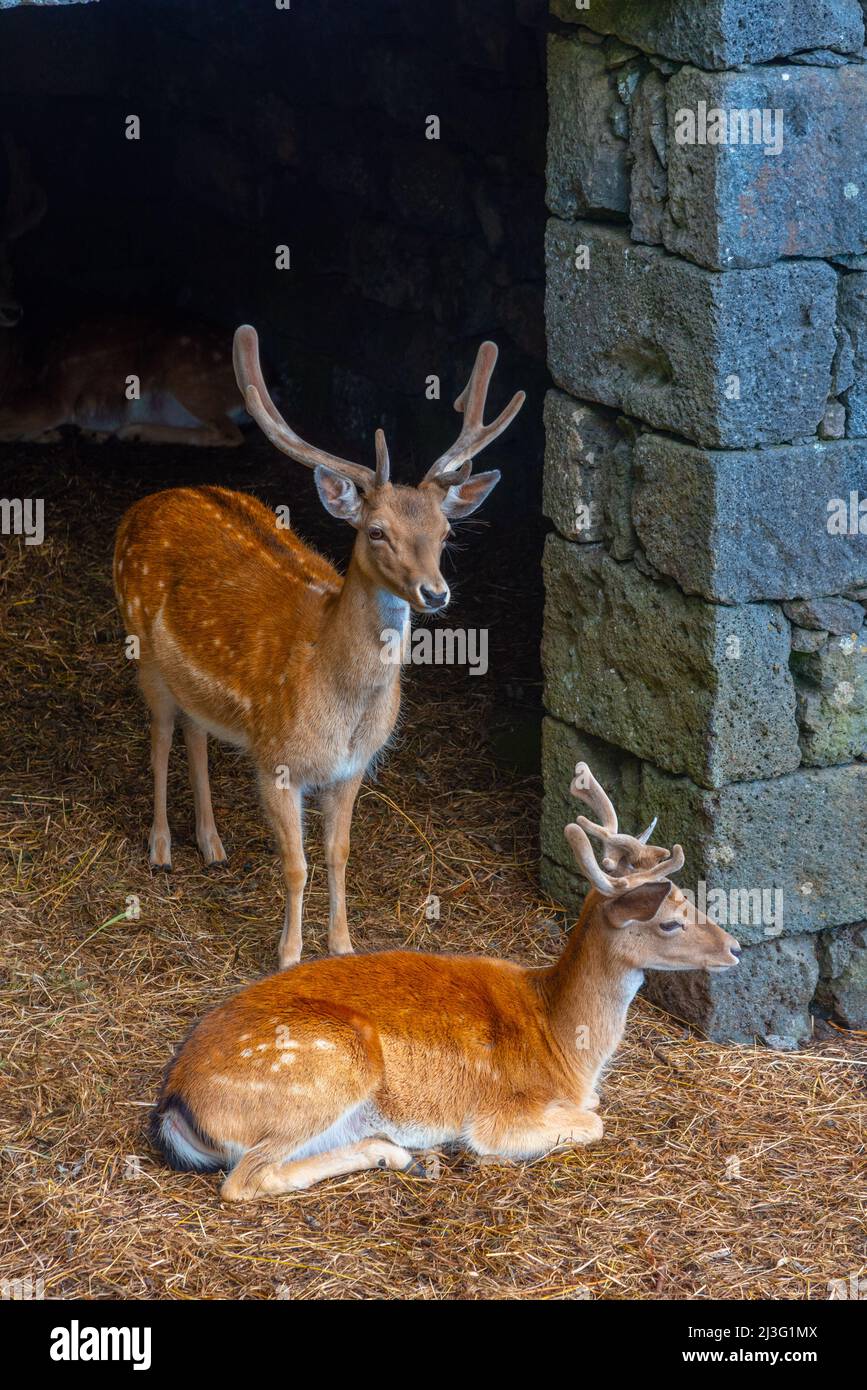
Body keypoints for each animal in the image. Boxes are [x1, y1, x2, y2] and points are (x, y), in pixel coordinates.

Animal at [0, 136, 244, 447]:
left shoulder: (47, 400)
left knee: (231, 433)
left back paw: (130, 430)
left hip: (187, 374)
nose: (12, 310)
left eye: (9, 271)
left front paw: (46, 433)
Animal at [114, 325, 525, 967]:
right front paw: (288, 956)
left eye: (445, 532)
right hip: (142, 649)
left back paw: (212, 844)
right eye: (376, 531)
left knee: (196, 731)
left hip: (195, 687)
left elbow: (339, 854)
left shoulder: (353, 767)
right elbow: (296, 863)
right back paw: (161, 849)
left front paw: (342, 946)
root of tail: (145, 504)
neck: (340, 706)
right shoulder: (277, 760)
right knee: (159, 734)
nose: (435, 592)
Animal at [149, 762, 741, 1201]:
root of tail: (175, 1100)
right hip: (327, 1065)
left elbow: (594, 1107)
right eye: (669, 921)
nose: (735, 947)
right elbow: (589, 1123)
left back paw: (404, 1155)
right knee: (245, 1179)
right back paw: (401, 1152)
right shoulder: (500, 1117)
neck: (567, 1046)